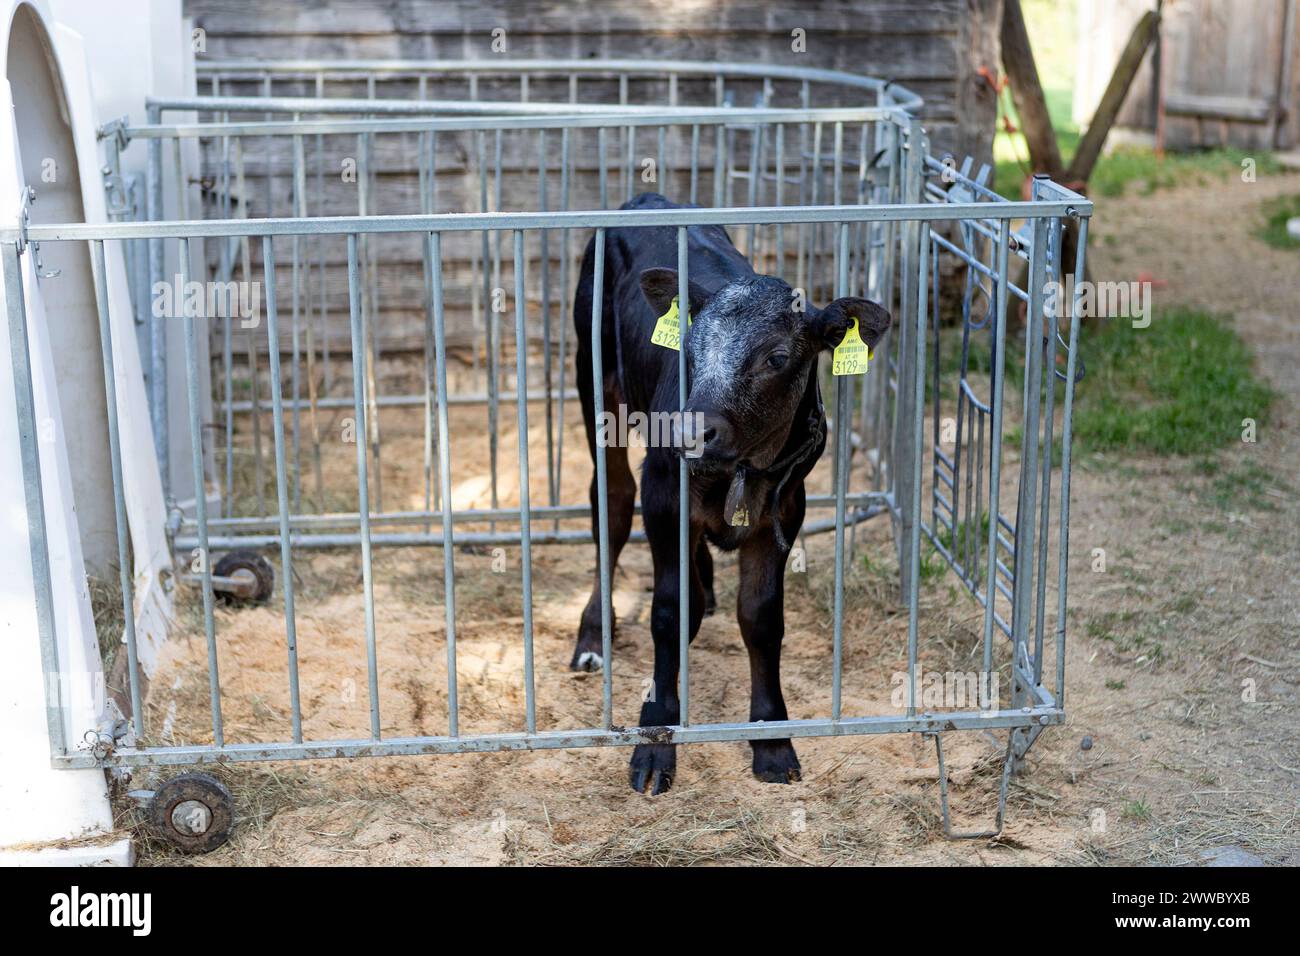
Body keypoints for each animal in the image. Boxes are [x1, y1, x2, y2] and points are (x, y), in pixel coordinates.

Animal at [571, 193, 892, 795]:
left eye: (777, 357)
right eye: (692, 349)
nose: (691, 431)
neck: (739, 468)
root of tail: (646, 198)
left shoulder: (785, 508)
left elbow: (762, 619)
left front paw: (771, 737)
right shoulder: (664, 490)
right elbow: (668, 610)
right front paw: (657, 735)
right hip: (593, 380)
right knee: (613, 503)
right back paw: (594, 637)